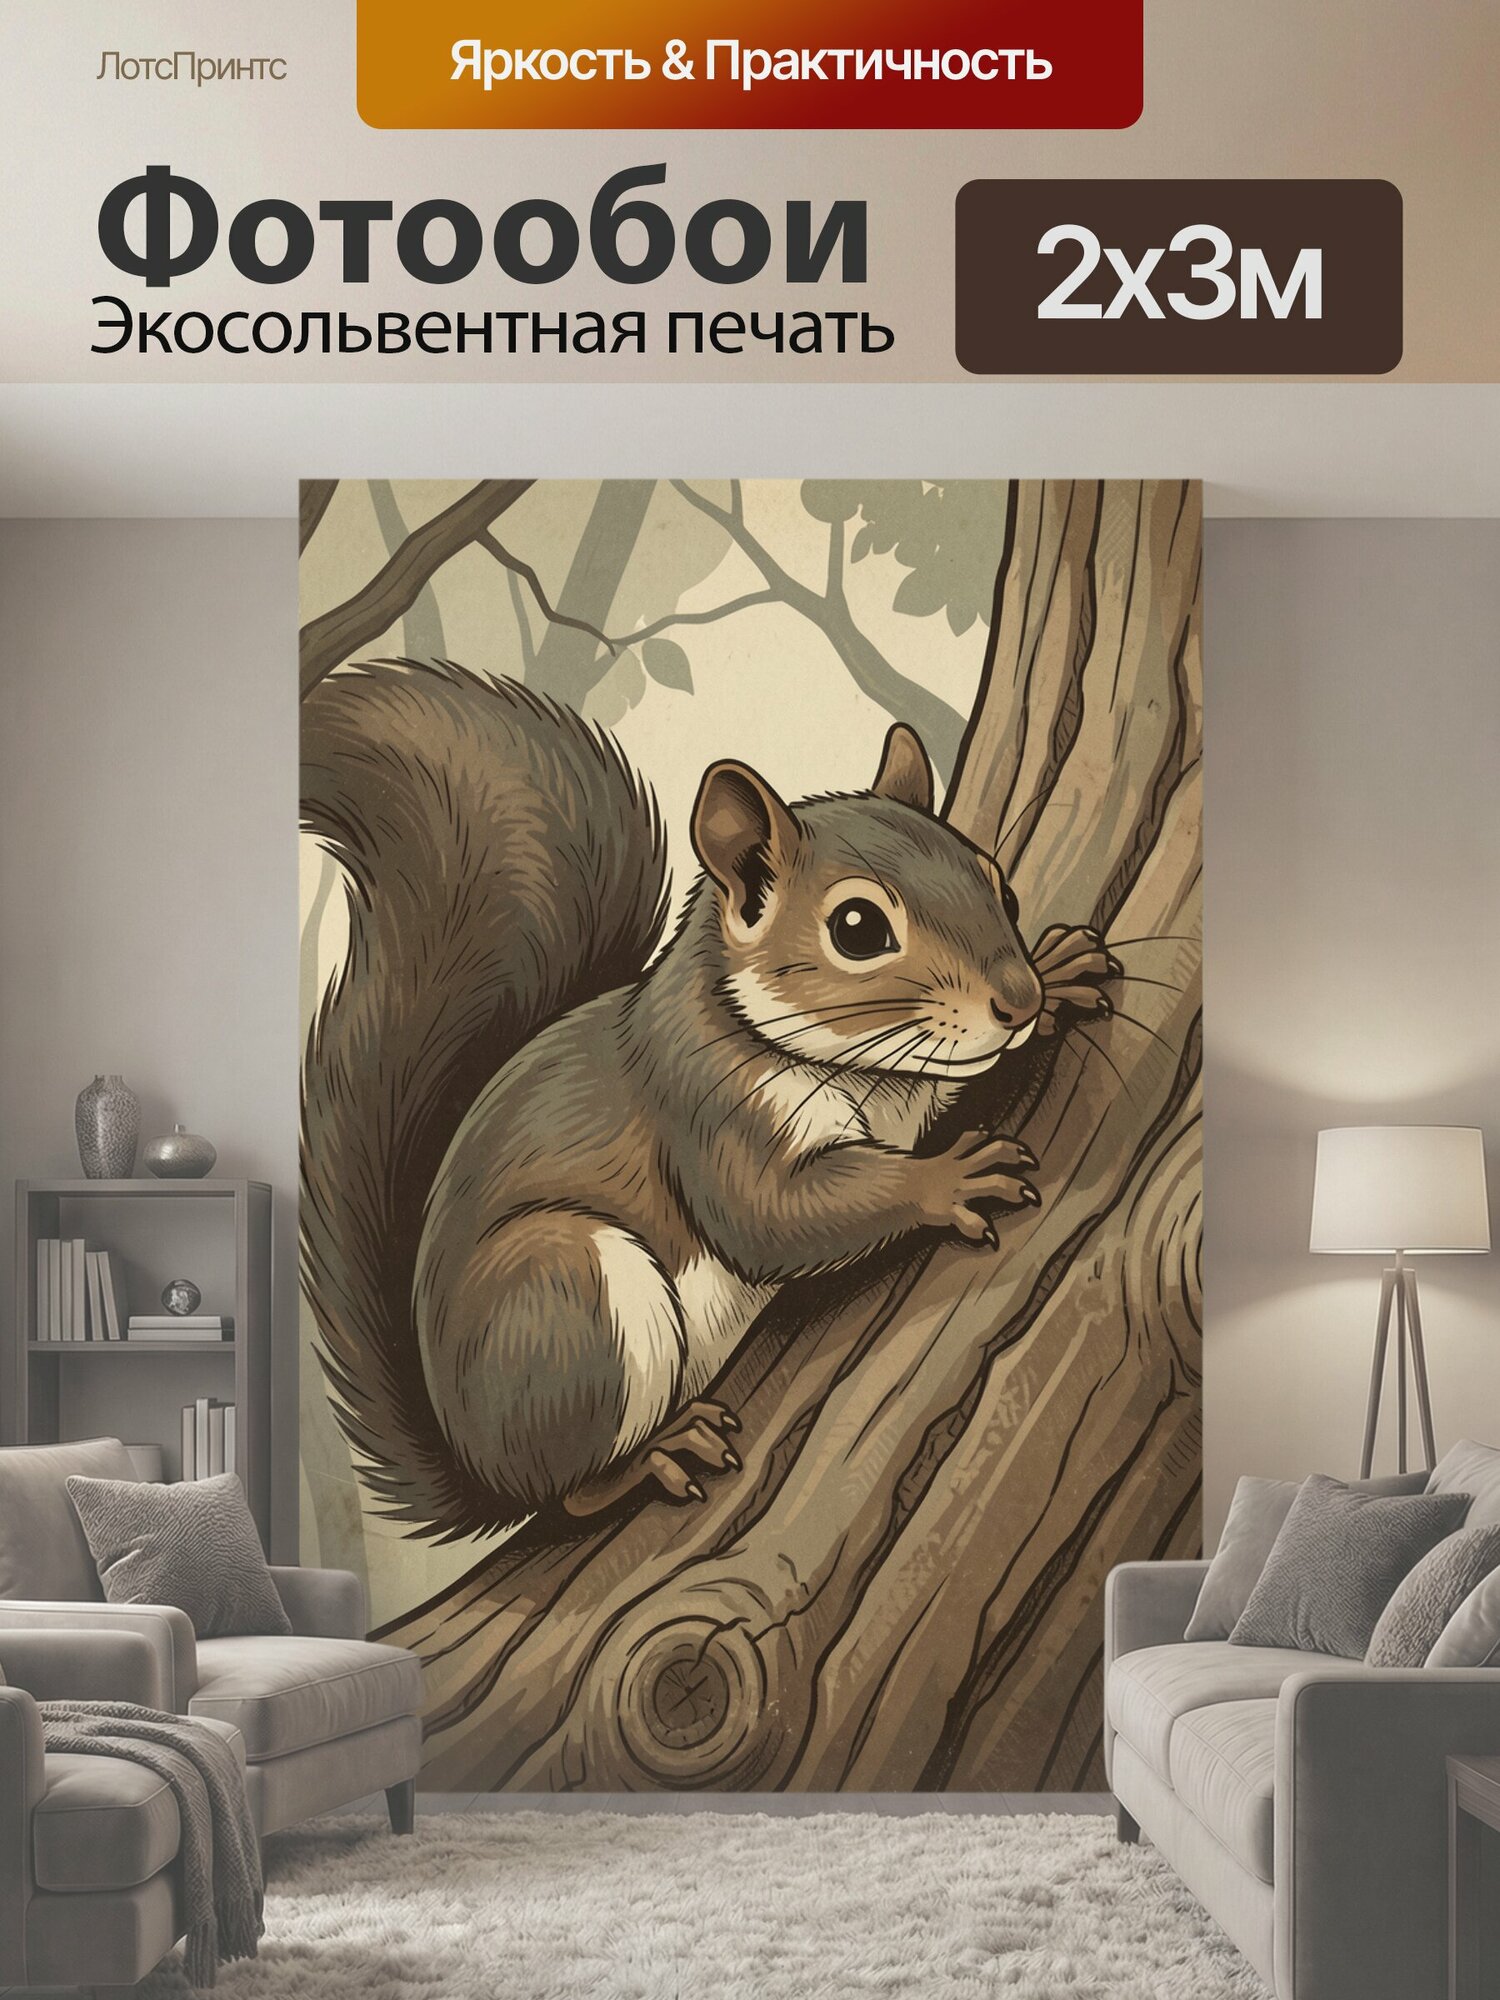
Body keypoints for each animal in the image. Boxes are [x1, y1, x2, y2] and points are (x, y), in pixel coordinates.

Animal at [301, 659, 1118, 1539]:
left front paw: (1062, 977)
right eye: (858, 927)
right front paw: (947, 1179)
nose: (1018, 1000)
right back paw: (652, 1457)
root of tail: (479, 1469)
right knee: (567, 1489)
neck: (866, 1073)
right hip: (565, 1298)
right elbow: (769, 1216)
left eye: (999, 884)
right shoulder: (707, 1116)